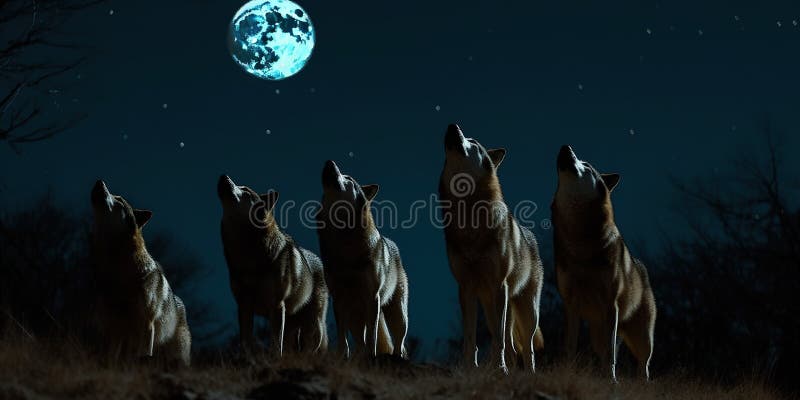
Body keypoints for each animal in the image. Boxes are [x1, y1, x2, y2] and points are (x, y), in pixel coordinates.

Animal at [90, 180, 191, 367]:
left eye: (120, 200)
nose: (100, 181)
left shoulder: (146, 324)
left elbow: (143, 352)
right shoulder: (113, 326)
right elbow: (111, 357)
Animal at [218, 175, 328, 355]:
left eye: (245, 189)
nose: (223, 176)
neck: (247, 253)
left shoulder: (276, 305)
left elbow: (276, 345)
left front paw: (274, 359)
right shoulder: (244, 306)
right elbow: (245, 342)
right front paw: (245, 359)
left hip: (312, 327)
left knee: (309, 350)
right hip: (292, 326)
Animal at [316, 160, 409, 359]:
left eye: (349, 178)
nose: (329, 162)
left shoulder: (372, 297)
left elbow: (373, 337)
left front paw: (371, 357)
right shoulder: (339, 298)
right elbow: (343, 337)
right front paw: (342, 356)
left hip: (397, 315)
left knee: (400, 344)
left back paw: (397, 358)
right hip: (355, 318)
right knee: (360, 341)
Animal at [439, 124, 544, 373]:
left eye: (473, 142)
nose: (453, 125)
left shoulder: (499, 285)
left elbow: (498, 338)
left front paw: (499, 367)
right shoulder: (466, 287)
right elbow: (470, 337)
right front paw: (469, 367)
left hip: (527, 311)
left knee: (526, 348)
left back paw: (527, 373)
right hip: (490, 305)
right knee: (511, 344)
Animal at [551, 145, 656, 381]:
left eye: (587, 165)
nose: (565, 147)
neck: (580, 243)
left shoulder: (611, 305)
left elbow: (611, 355)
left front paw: (612, 381)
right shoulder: (570, 305)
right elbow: (570, 347)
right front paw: (567, 372)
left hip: (642, 338)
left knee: (643, 365)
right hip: (598, 332)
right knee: (603, 353)